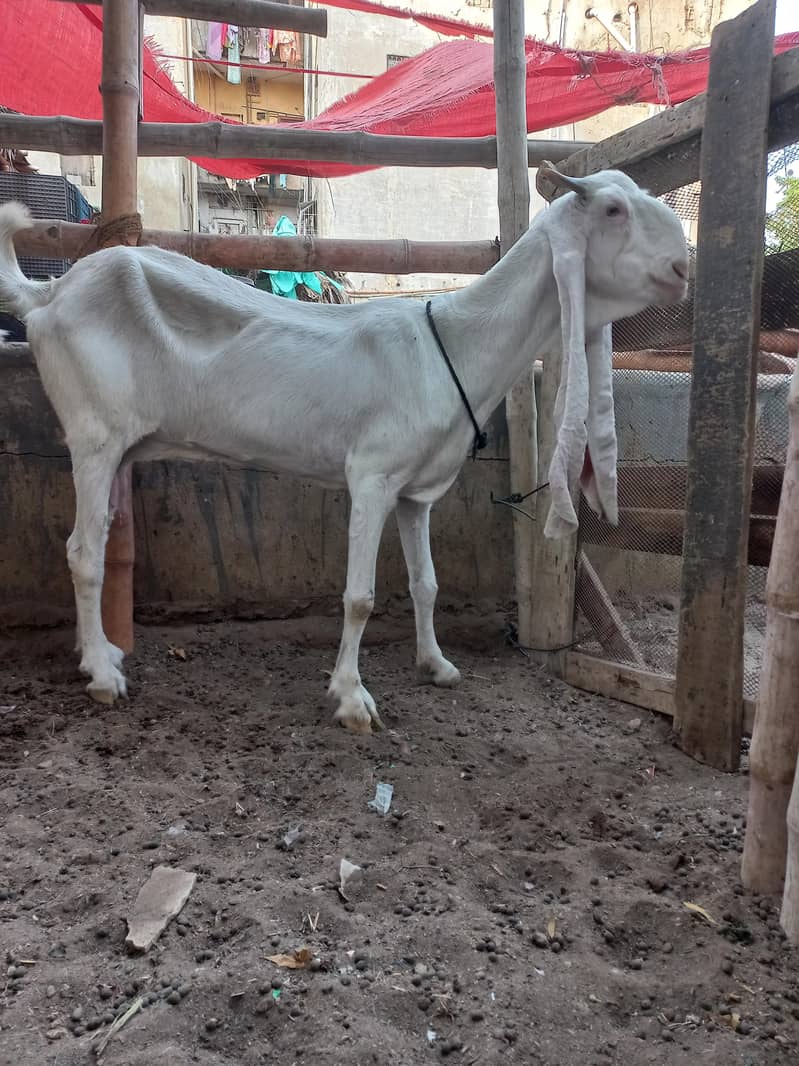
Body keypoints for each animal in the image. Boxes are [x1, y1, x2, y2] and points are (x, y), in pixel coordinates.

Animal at [0, 166, 688, 732]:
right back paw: (102, 674)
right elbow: (360, 598)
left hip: (120, 444)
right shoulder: (373, 476)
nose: (683, 267)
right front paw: (352, 698)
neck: (455, 344)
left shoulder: (416, 494)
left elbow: (426, 583)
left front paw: (435, 664)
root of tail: (49, 295)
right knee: (82, 550)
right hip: (93, 433)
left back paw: (101, 652)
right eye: (612, 210)